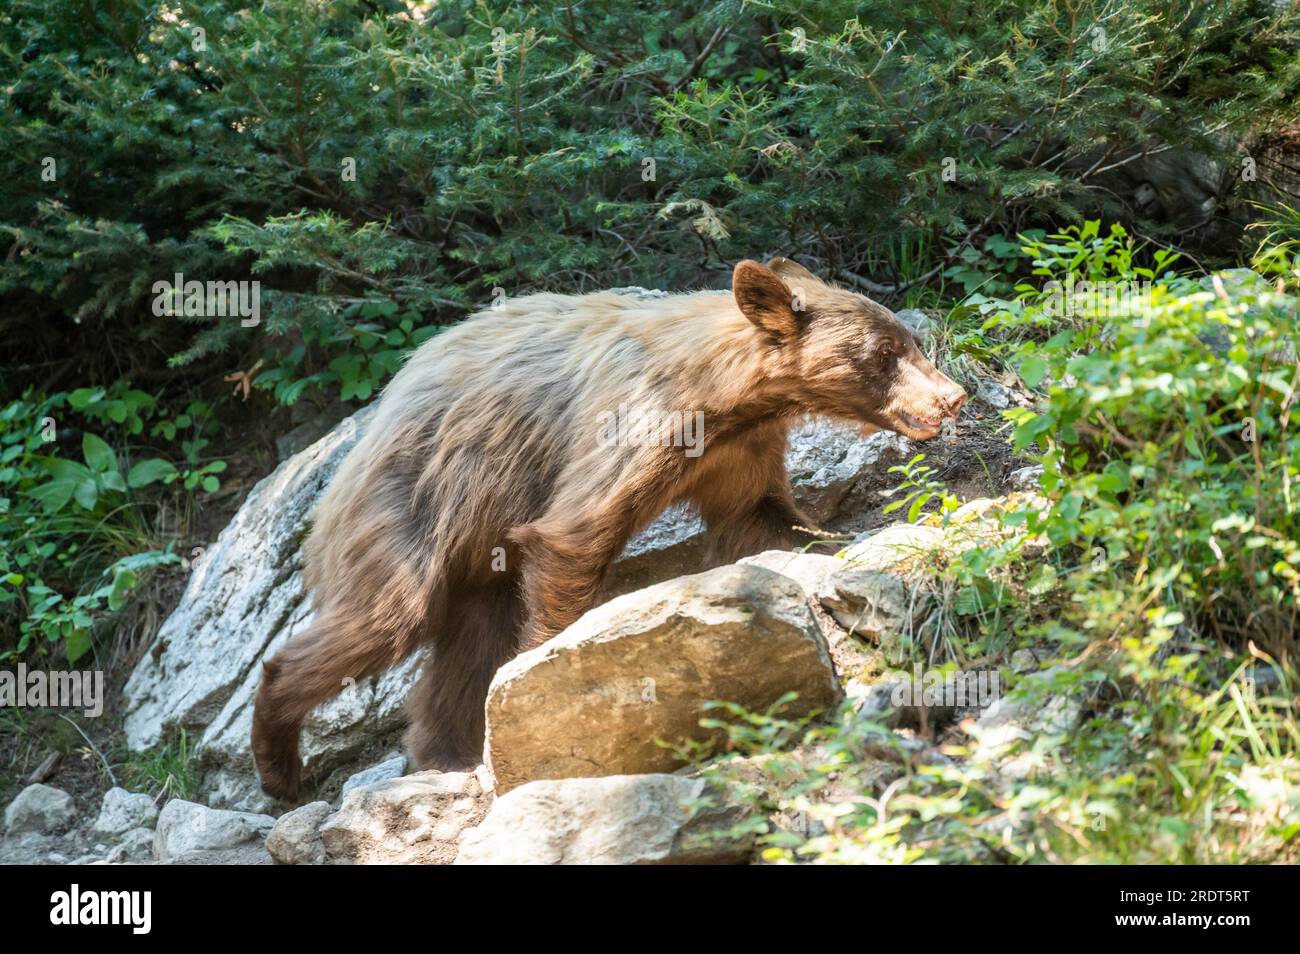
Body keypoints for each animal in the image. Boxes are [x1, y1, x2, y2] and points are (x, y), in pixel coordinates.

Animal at [251, 257, 967, 800]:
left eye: (910, 341)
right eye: (886, 352)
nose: (953, 397)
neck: (724, 397)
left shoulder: (741, 449)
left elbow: (761, 519)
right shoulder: (631, 424)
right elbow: (573, 536)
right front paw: (540, 685)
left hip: (474, 552)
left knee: (465, 644)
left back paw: (445, 750)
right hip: (412, 510)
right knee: (383, 618)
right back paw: (280, 759)